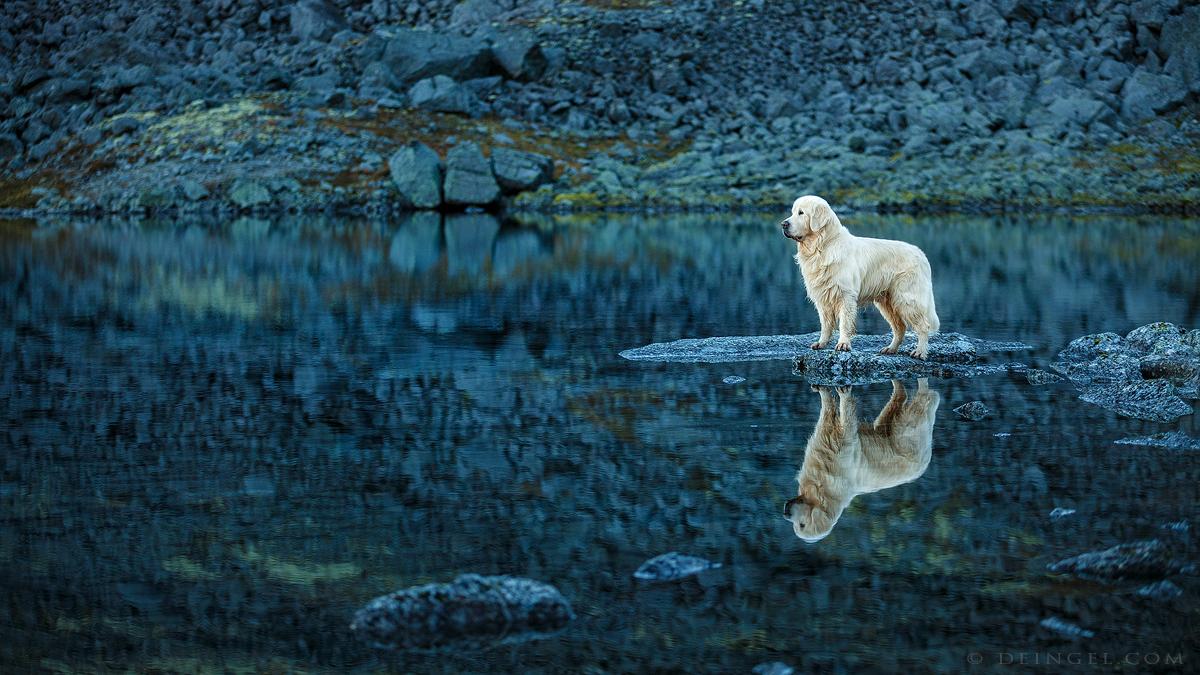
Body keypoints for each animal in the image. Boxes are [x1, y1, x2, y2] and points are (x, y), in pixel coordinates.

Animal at [782, 193, 940, 357]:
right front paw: (821, 343)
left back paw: (920, 352)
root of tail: (921, 254)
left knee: (923, 326)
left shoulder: (846, 295)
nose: (783, 224)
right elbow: (825, 324)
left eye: (801, 213)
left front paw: (843, 344)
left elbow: (844, 323)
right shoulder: (823, 297)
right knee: (900, 327)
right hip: (887, 302)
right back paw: (890, 348)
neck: (823, 246)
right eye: (793, 212)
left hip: (907, 299)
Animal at [782, 379, 940, 540]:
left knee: (915, 413)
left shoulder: (840, 461)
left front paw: (842, 392)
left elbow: (843, 425)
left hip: (908, 443)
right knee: (889, 415)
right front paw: (820, 388)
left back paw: (923, 389)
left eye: (801, 525)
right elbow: (828, 421)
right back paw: (897, 385)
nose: (786, 512)